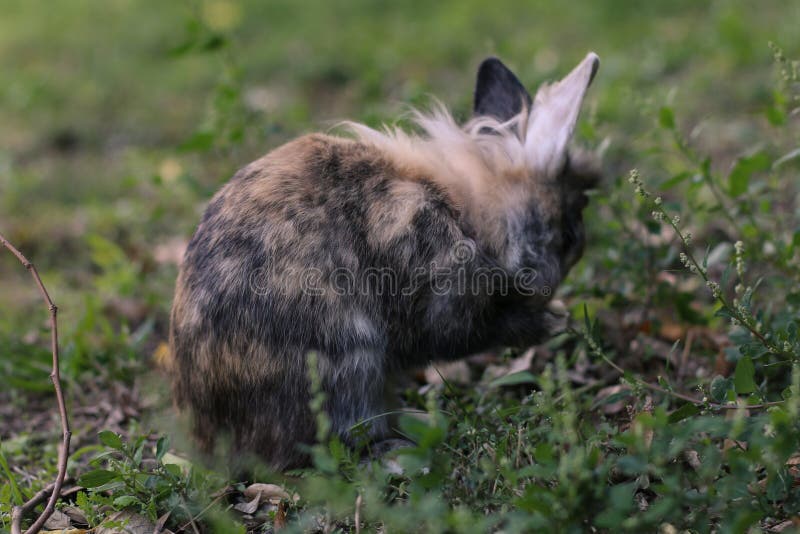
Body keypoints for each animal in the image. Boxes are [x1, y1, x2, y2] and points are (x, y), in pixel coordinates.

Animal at [169, 53, 601, 470]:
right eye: (567, 236)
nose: (558, 281)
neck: (468, 211)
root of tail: (214, 447)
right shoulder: (443, 302)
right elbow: (469, 332)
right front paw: (554, 321)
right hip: (348, 367)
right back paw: (397, 453)